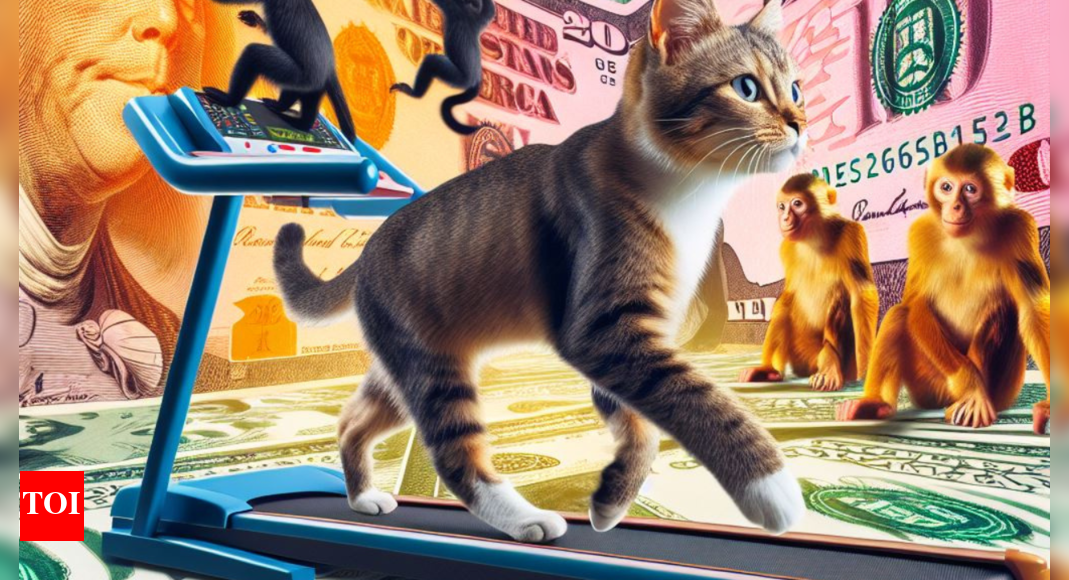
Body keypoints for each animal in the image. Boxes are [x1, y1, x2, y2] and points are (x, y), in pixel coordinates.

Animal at [203, 0, 356, 142]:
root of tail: (330, 68)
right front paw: (254, 19)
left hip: (299, 75)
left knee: (254, 54)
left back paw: (229, 99)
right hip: (313, 83)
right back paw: (290, 114)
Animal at [390, 0, 496, 135]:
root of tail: (475, 79)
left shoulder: (455, 8)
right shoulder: (482, 17)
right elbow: (490, 9)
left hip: (457, 78)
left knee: (433, 61)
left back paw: (414, 93)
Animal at [739, 174, 879, 392]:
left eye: (797, 204)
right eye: (782, 206)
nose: (784, 218)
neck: (815, 236)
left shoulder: (852, 234)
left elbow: (861, 292)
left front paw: (864, 371)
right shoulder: (786, 246)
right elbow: (788, 294)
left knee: (841, 297)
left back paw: (829, 365)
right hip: (801, 356)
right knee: (786, 306)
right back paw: (771, 371)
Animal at [837, 144, 1051, 434]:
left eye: (970, 189)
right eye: (947, 187)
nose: (955, 206)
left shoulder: (1020, 228)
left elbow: (1032, 307)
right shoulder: (921, 233)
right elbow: (916, 302)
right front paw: (970, 386)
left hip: (1005, 390)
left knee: (1004, 308)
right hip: (928, 387)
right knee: (899, 314)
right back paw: (877, 404)